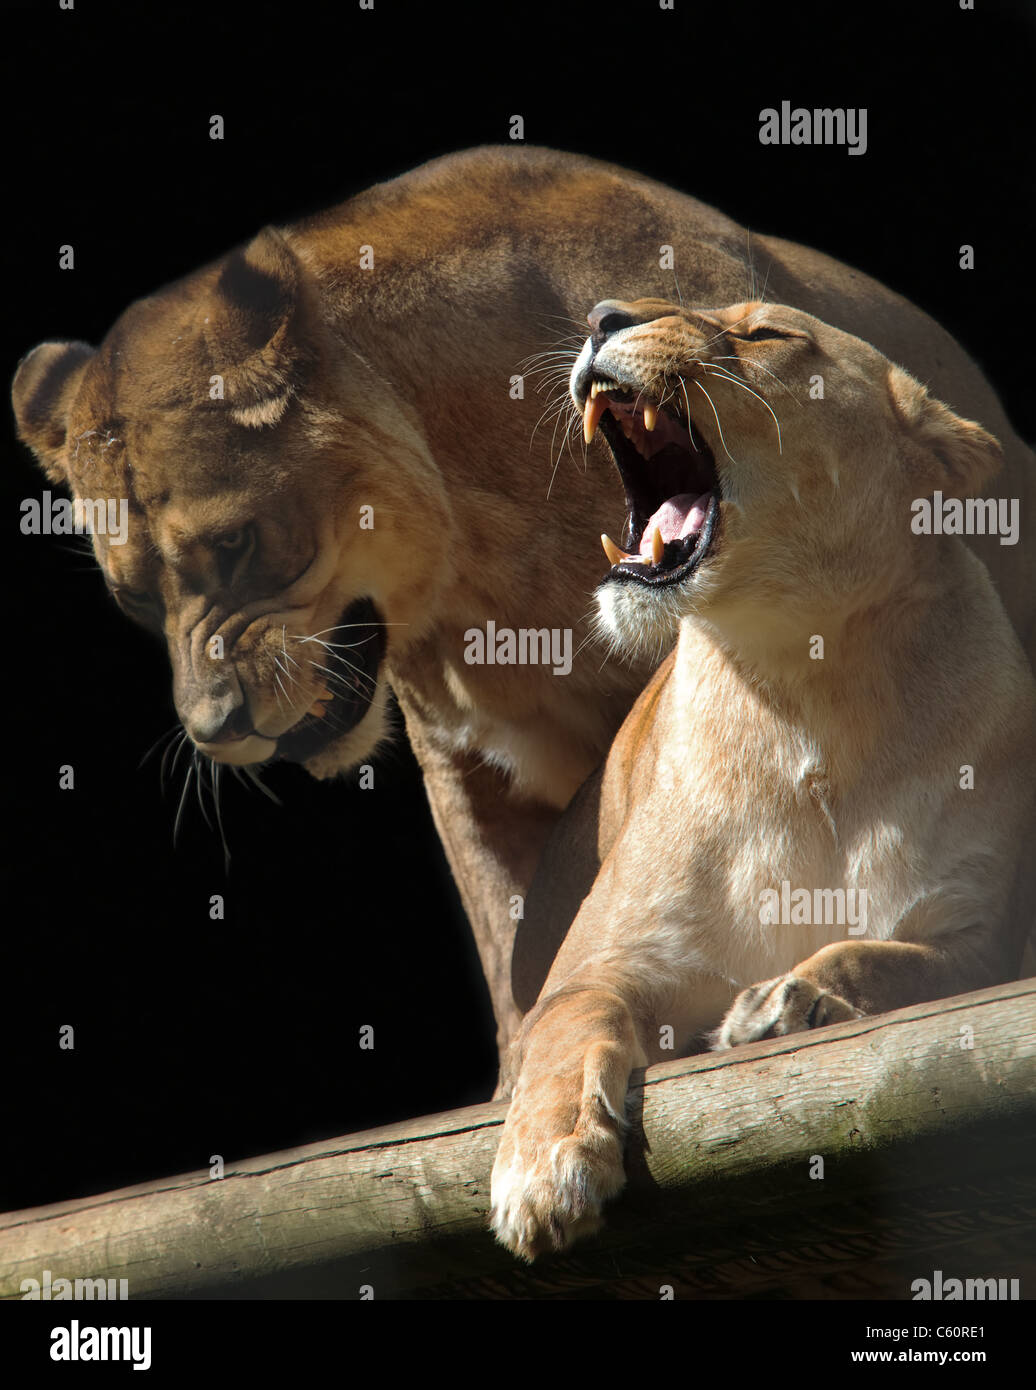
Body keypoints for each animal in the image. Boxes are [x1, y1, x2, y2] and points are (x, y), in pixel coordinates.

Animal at [11, 147, 1035, 1081]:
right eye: (133, 598)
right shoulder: (460, 756)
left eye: (234, 544)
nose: (215, 727)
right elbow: (508, 928)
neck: (477, 542)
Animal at [492, 299, 1036, 1260]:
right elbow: (567, 1033)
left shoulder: (979, 934)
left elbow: (888, 958)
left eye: (769, 336)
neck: (802, 692)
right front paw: (543, 1173)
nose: (602, 315)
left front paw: (789, 999)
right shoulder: (597, 965)